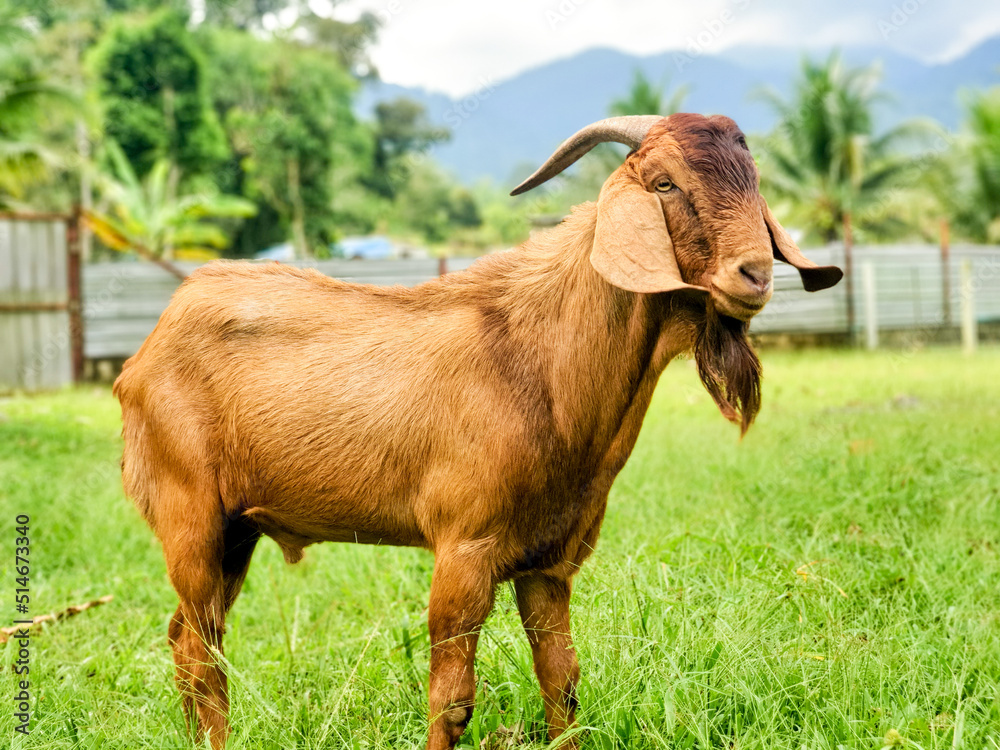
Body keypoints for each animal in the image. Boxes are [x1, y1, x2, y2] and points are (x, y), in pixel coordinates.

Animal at [114, 113, 842, 749]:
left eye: (754, 178)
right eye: (665, 183)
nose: (755, 275)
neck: (540, 364)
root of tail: (140, 358)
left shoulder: (549, 562)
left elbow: (563, 682)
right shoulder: (464, 547)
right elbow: (453, 698)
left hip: (237, 531)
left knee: (187, 634)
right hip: (190, 516)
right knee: (200, 648)